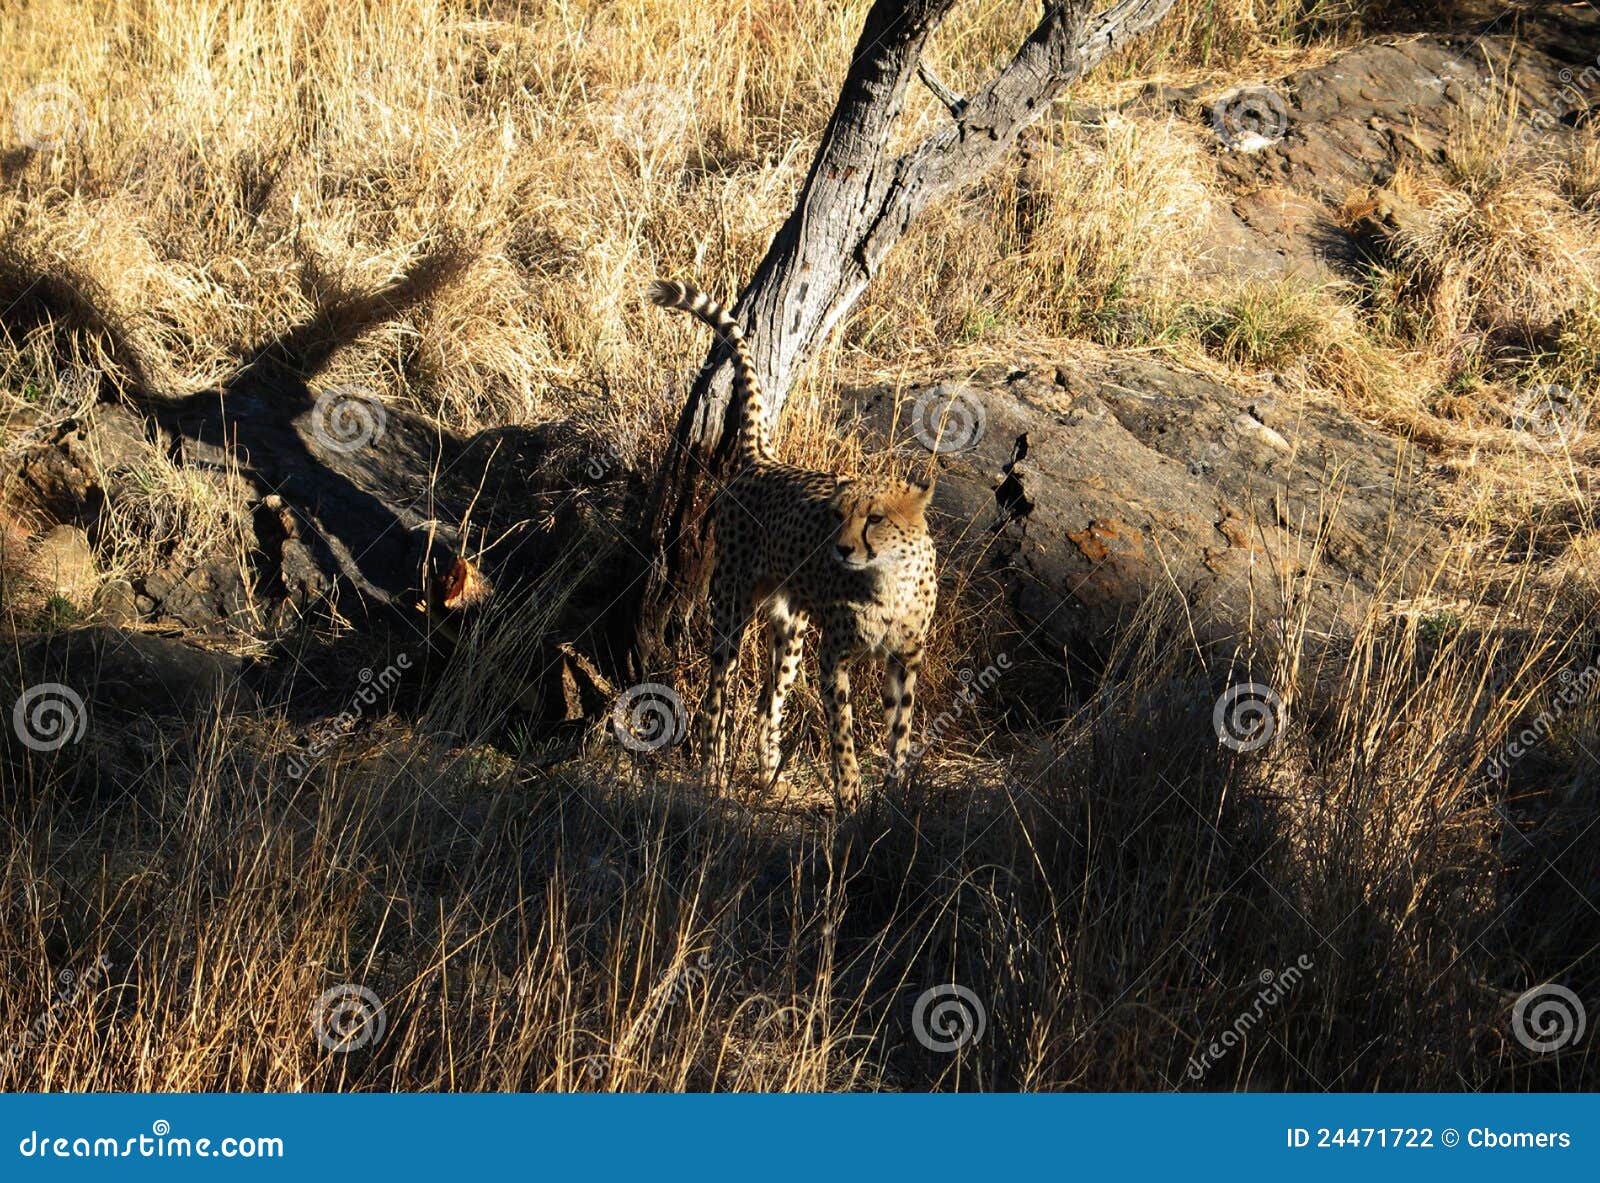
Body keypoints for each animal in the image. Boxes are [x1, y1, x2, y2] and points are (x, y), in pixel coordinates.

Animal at [648, 279, 938, 811]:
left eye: (875, 518)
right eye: (839, 515)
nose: (841, 550)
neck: (889, 580)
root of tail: (762, 458)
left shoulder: (904, 658)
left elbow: (900, 730)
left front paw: (894, 795)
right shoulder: (834, 655)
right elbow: (842, 733)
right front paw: (850, 798)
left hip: (792, 628)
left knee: (768, 700)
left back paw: (768, 777)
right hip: (731, 606)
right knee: (717, 695)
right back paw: (714, 776)